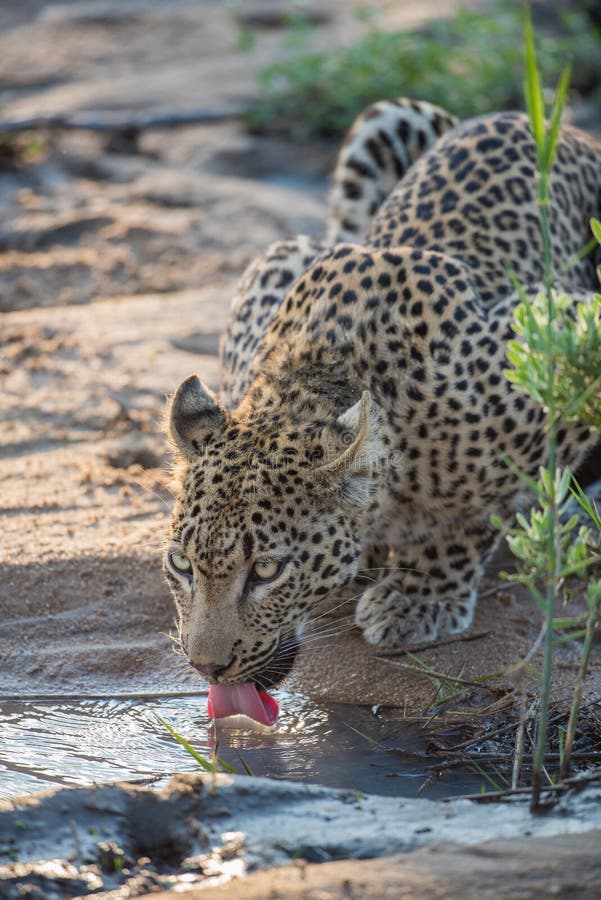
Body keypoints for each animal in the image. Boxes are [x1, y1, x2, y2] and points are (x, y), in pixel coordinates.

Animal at [164, 97, 601, 693]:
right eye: (181, 565)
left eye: (268, 571)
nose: (206, 667)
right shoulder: (274, 269)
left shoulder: (553, 337)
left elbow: (467, 517)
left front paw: (419, 596)